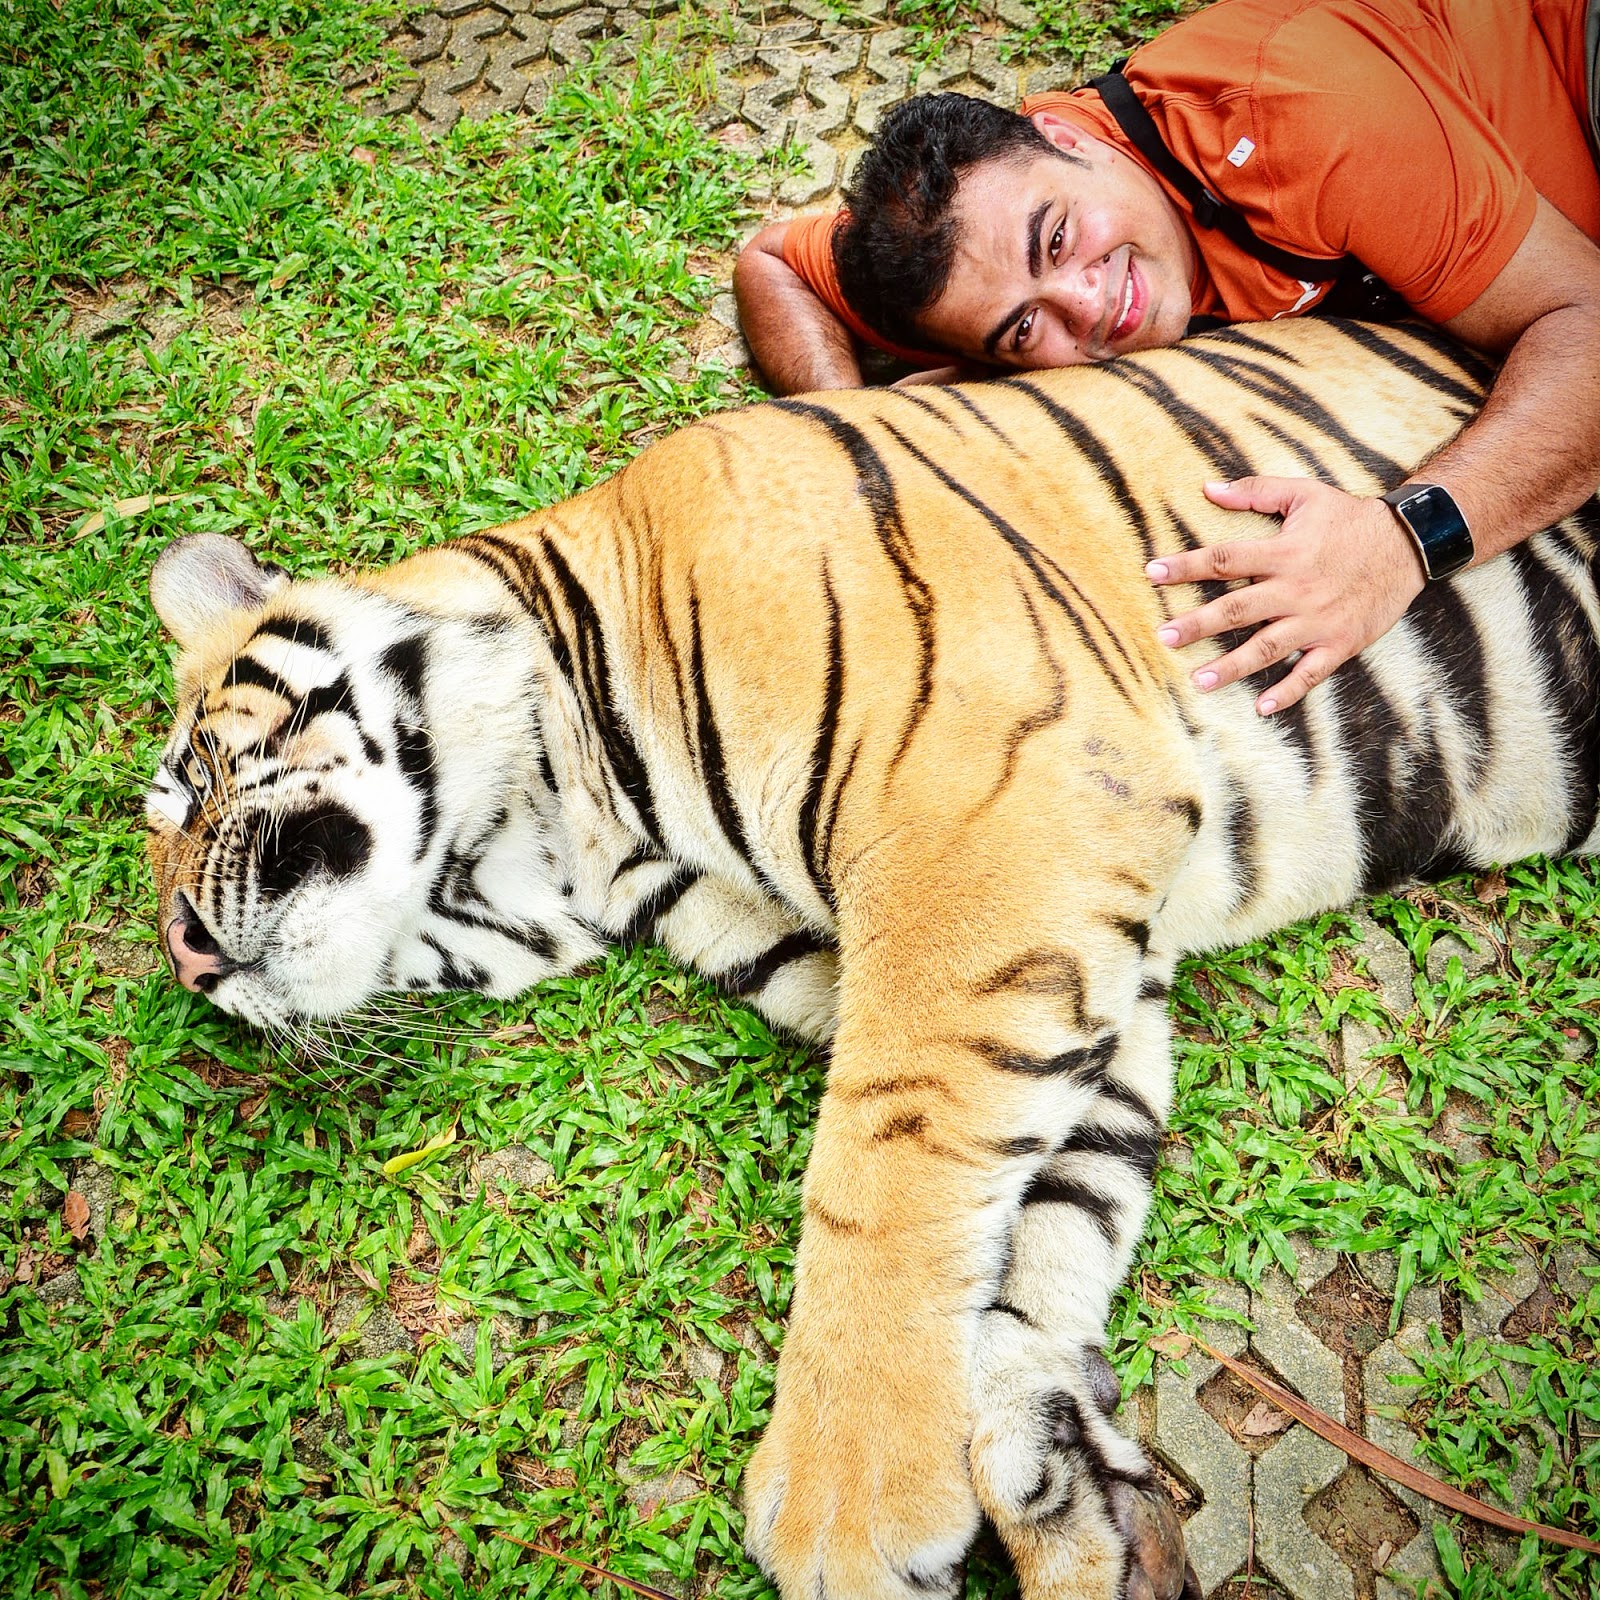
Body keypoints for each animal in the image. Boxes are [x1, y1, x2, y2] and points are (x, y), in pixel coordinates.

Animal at [144, 315, 1600, 1600]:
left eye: (190, 779)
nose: (190, 968)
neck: (573, 813)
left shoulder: (995, 827)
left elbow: (886, 1165)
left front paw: (847, 1506)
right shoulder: (1074, 966)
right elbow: (1038, 1217)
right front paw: (1069, 1499)